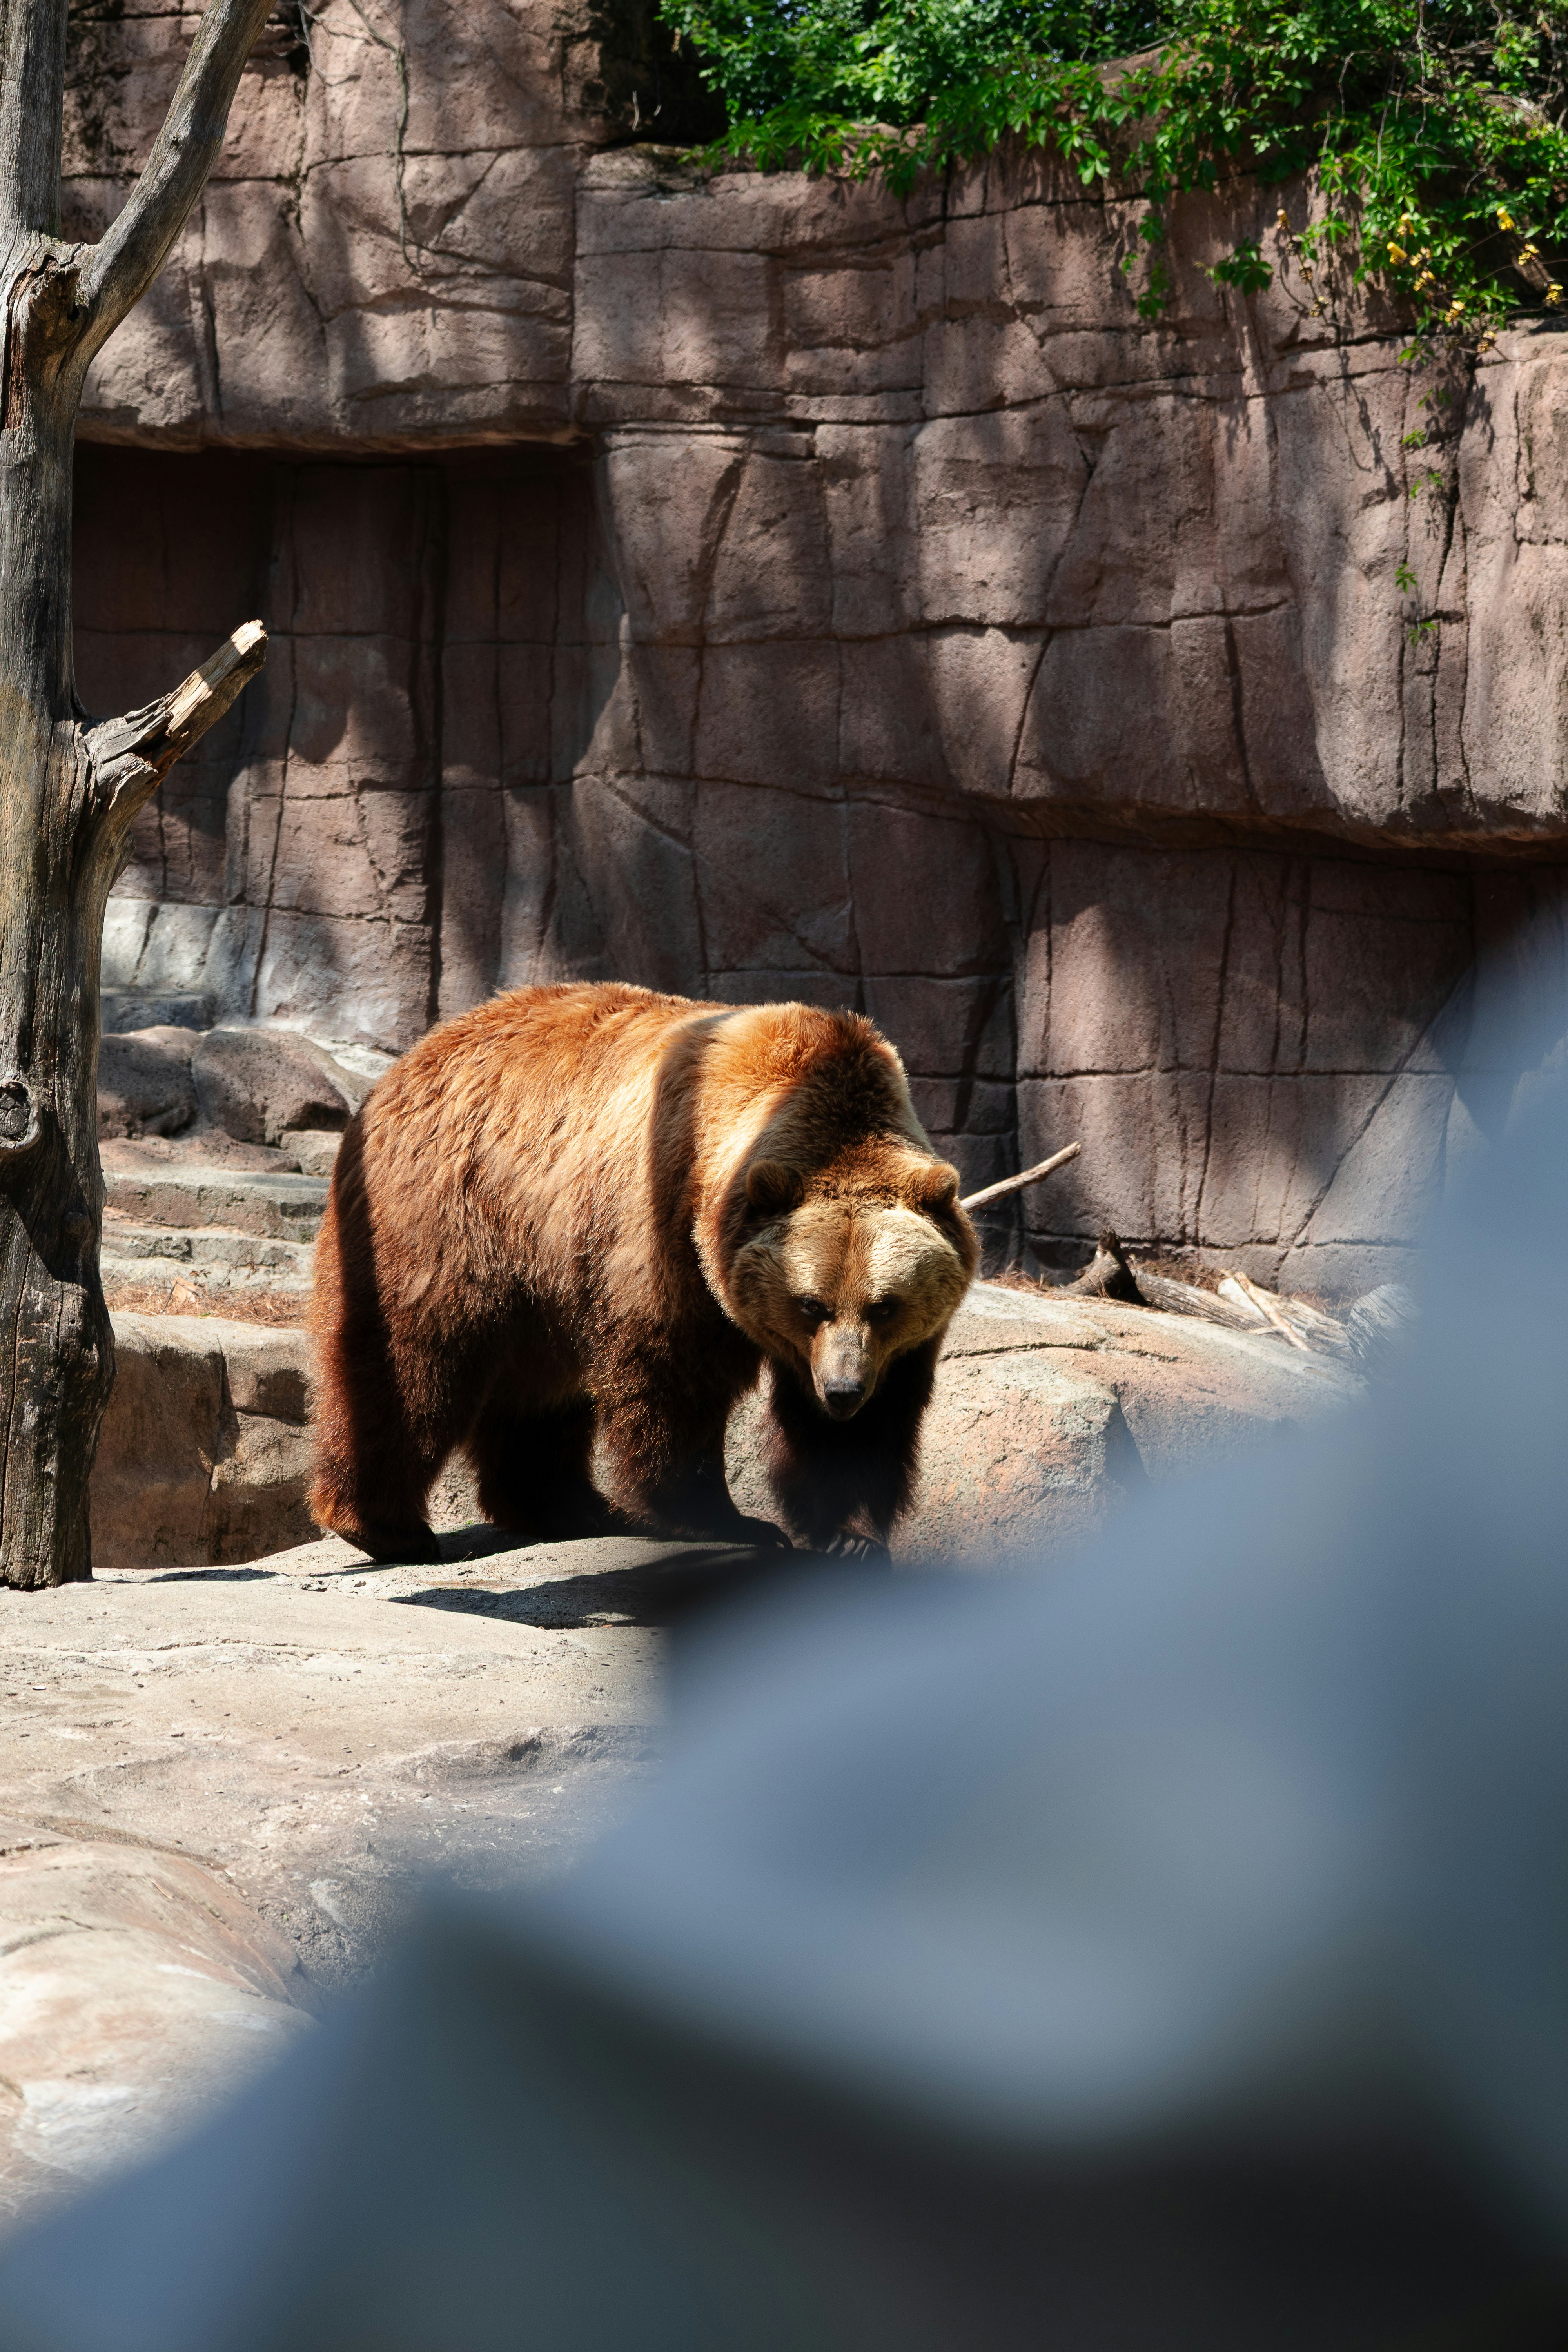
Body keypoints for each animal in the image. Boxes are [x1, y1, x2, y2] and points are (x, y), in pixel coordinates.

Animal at [307, 981, 979, 1563]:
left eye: (884, 1305)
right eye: (810, 1303)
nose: (842, 1392)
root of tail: (415, 1055)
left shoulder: (892, 1341)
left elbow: (875, 1420)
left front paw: (850, 1533)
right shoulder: (668, 1224)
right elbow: (673, 1377)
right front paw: (726, 1519)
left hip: (545, 1261)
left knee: (539, 1388)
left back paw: (567, 1507)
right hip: (446, 1211)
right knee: (413, 1356)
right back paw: (385, 1526)